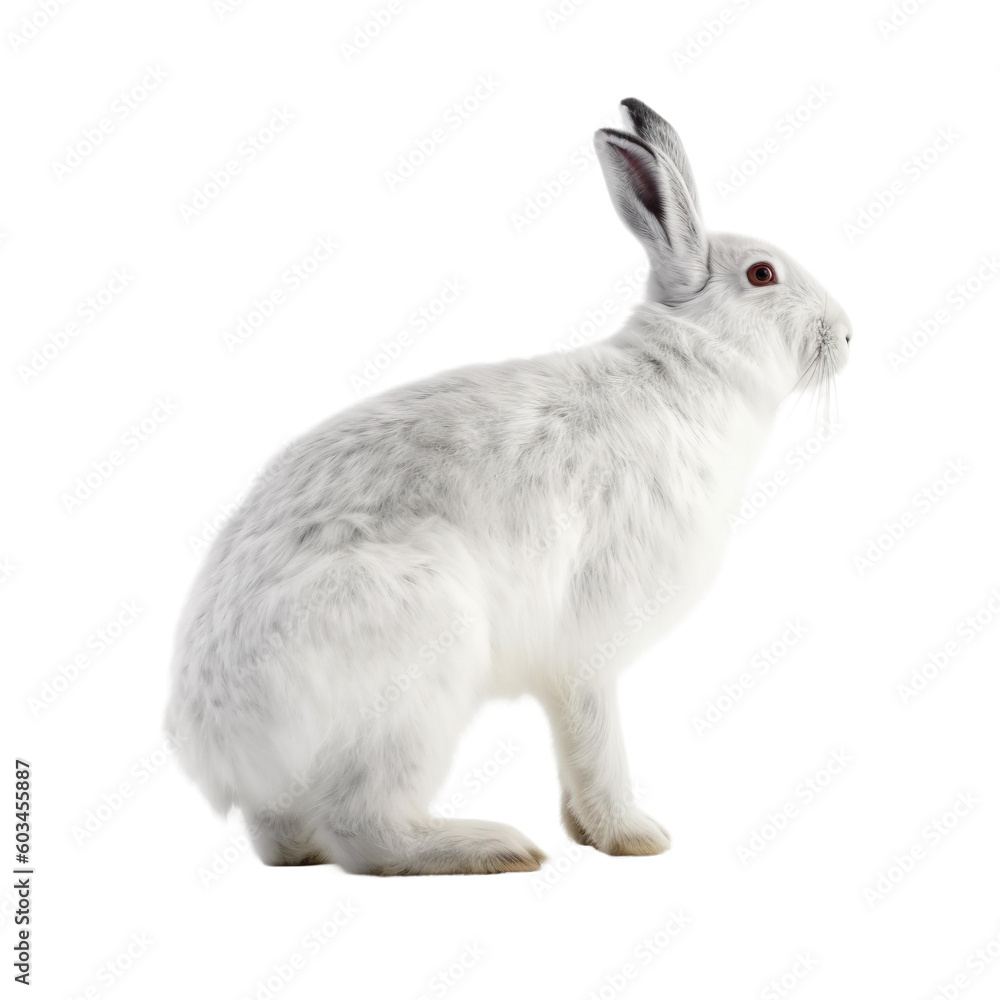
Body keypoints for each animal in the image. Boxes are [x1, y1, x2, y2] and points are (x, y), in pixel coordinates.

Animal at [165, 97, 851, 876]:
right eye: (763, 275)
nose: (847, 335)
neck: (690, 362)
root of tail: (224, 755)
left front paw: (587, 831)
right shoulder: (587, 650)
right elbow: (597, 744)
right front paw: (635, 837)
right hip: (420, 661)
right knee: (362, 826)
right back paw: (493, 847)